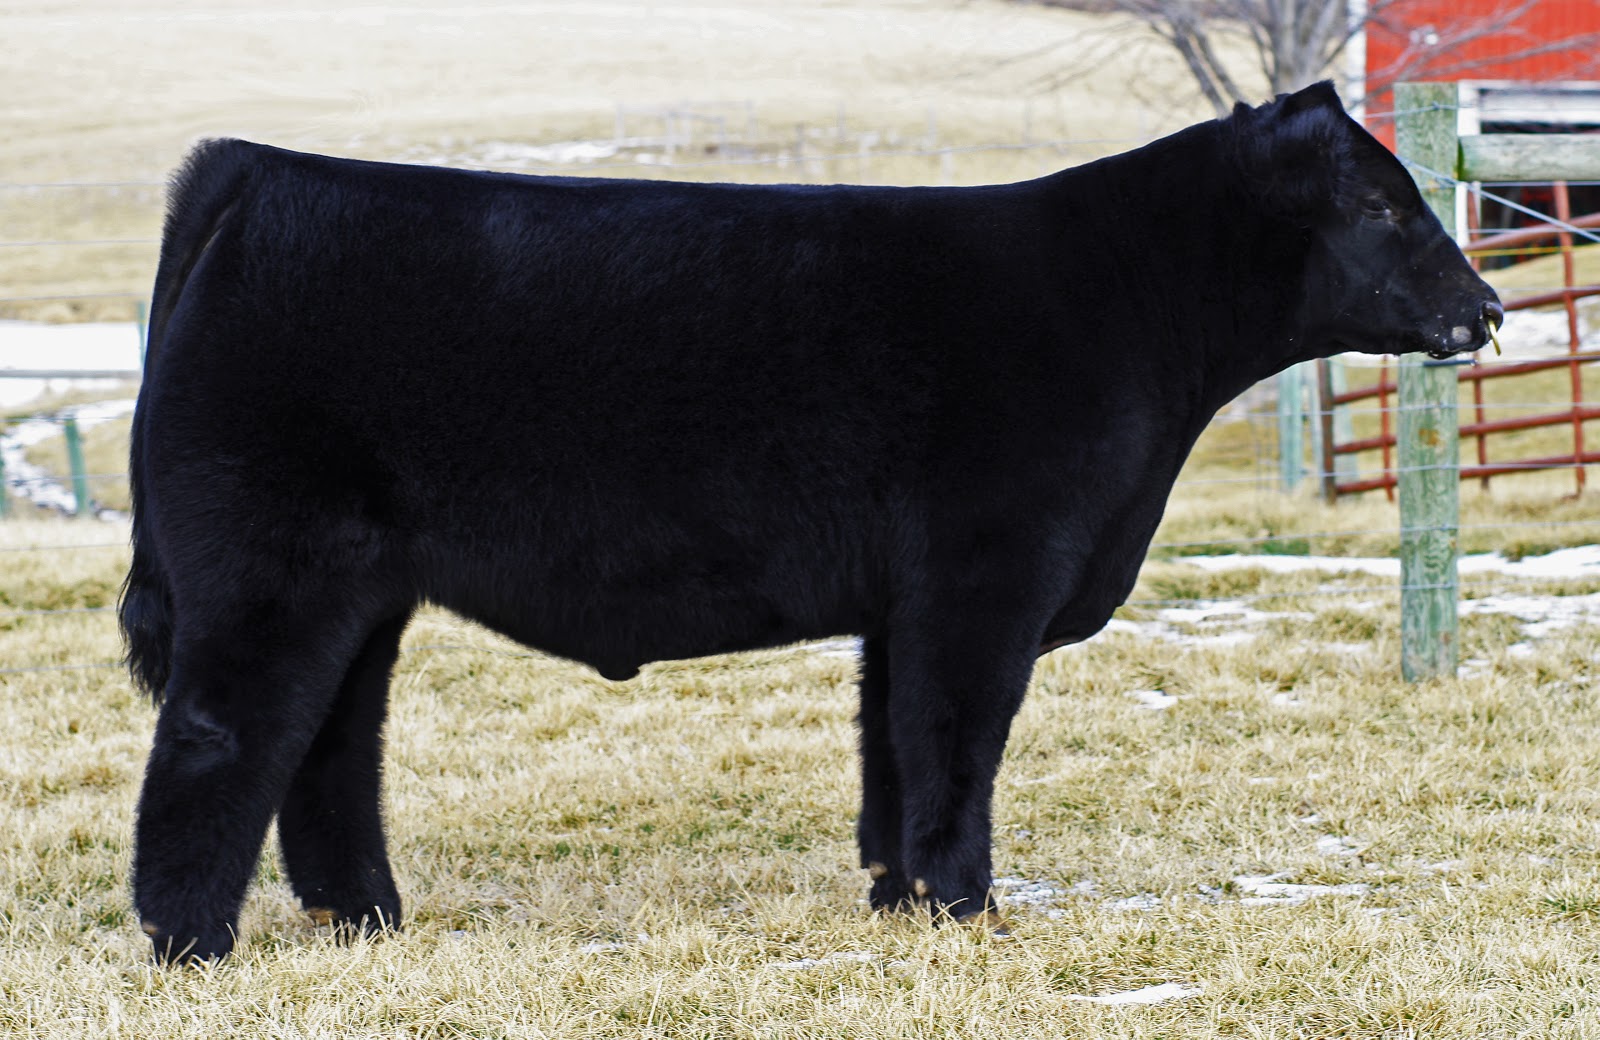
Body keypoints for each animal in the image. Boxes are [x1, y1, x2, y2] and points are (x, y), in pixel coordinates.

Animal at [119, 81, 1500, 962]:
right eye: (1380, 207)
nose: (1485, 307)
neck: (1119, 309)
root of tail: (254, 172)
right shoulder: (982, 579)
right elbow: (955, 744)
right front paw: (964, 904)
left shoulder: (906, 600)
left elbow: (891, 748)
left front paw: (900, 897)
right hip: (269, 570)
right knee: (219, 736)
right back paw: (190, 941)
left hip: (362, 587)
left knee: (329, 747)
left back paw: (362, 919)